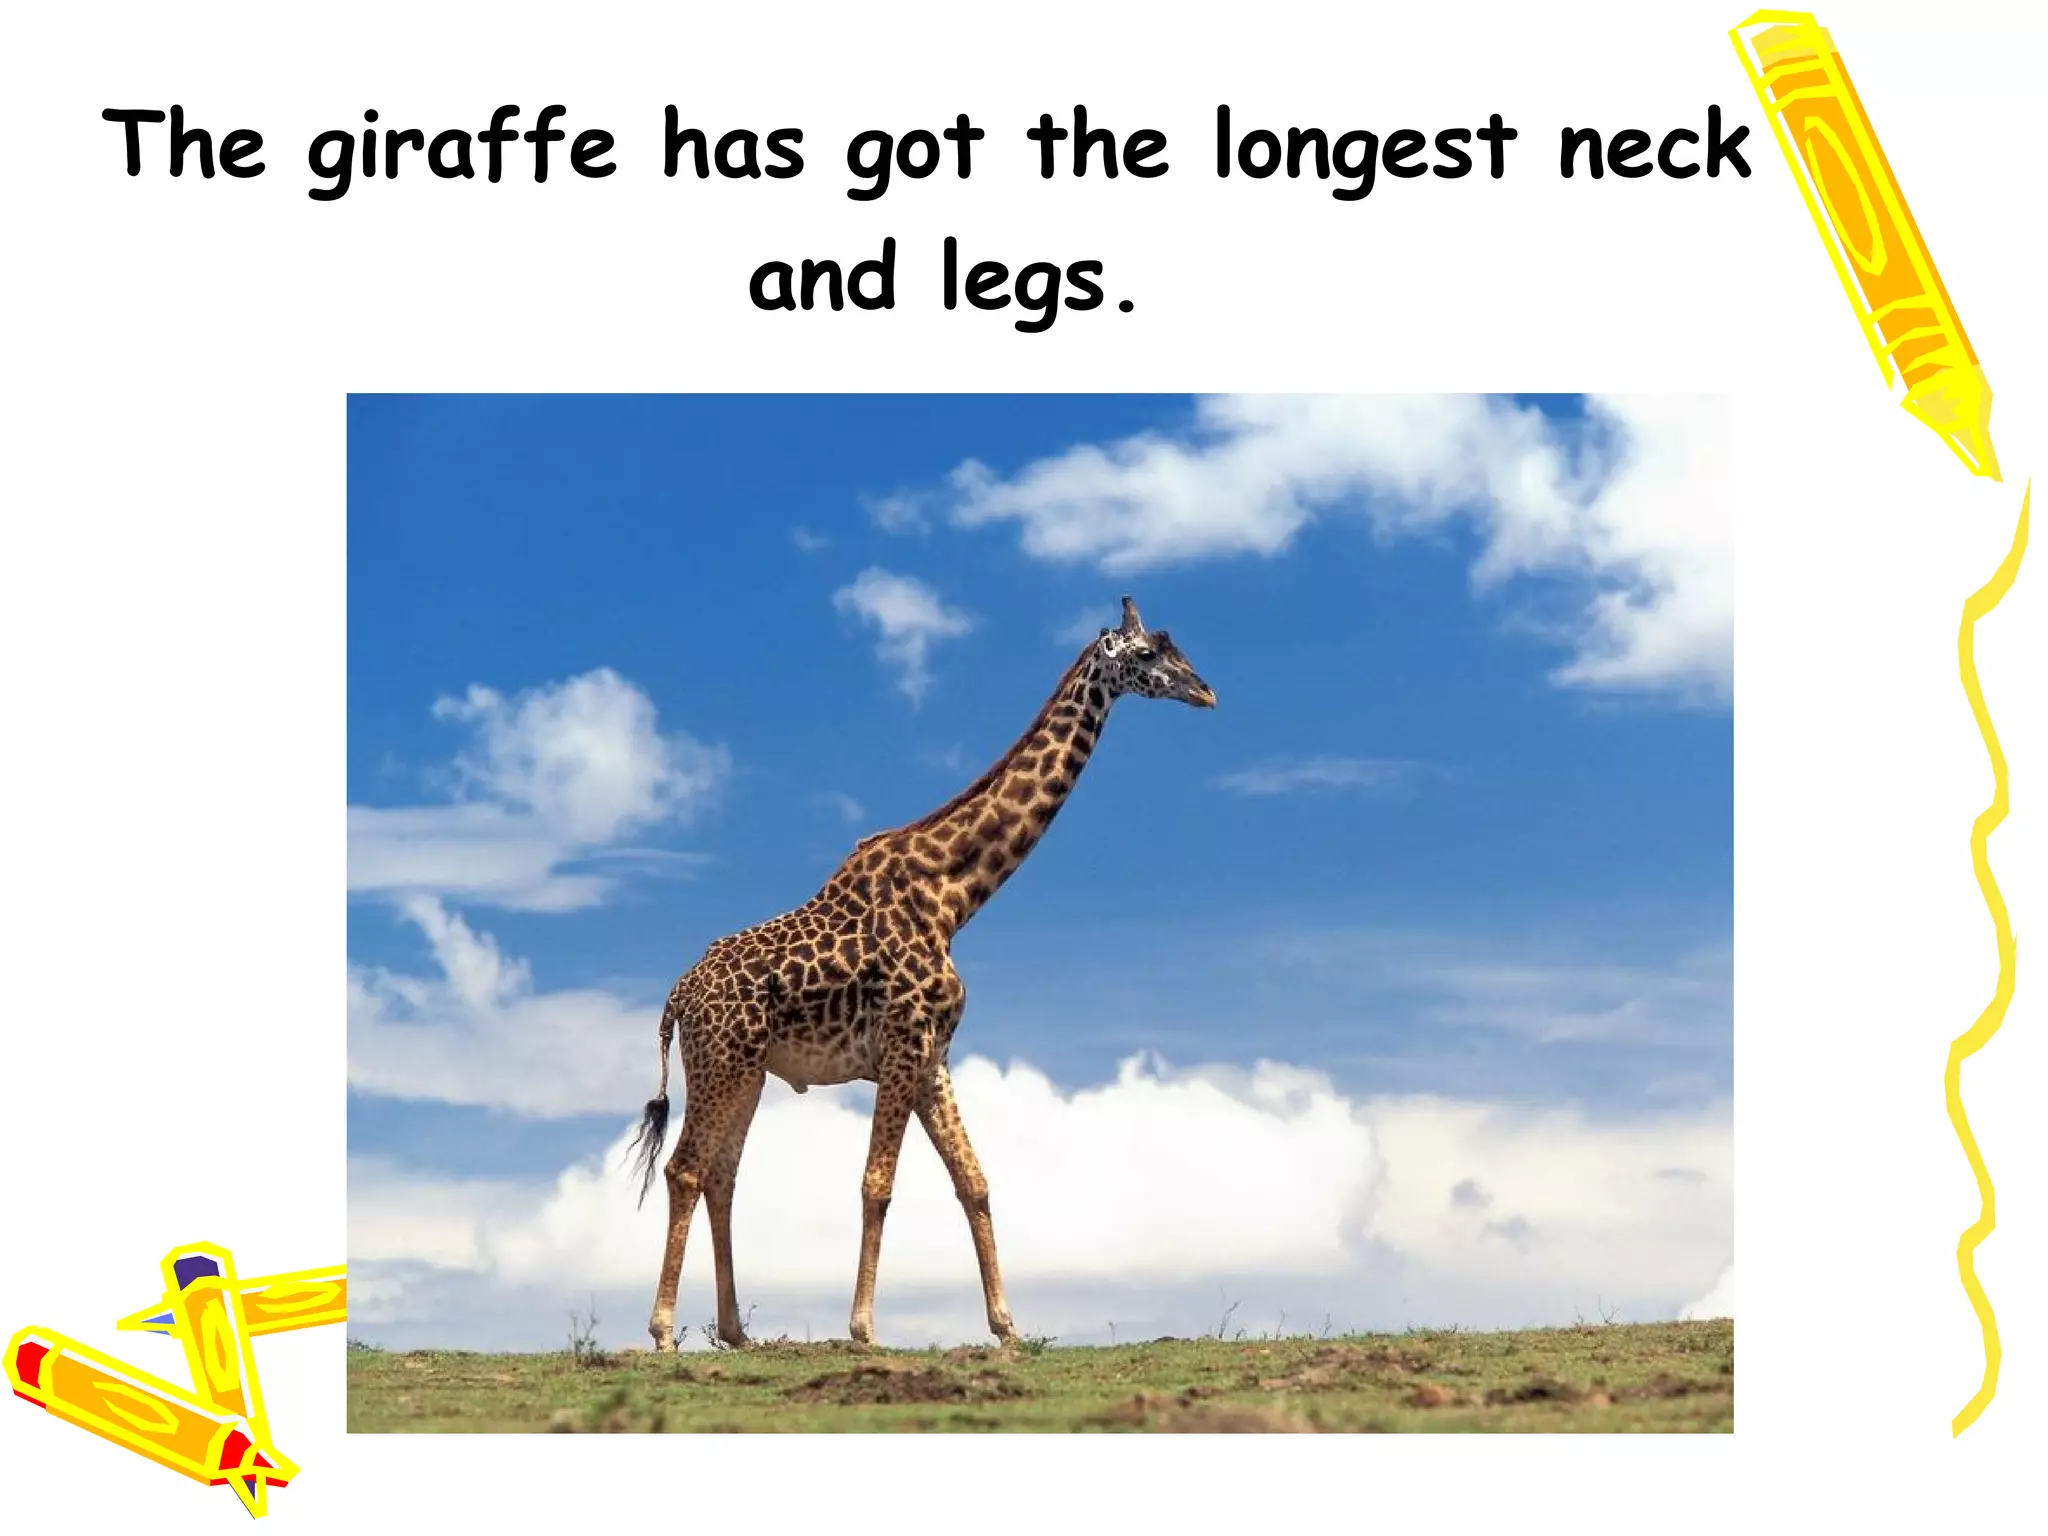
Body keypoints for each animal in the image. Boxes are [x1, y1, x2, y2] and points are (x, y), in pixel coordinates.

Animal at [627, 596, 1216, 1350]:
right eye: (1148, 654)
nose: (1206, 692)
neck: (956, 896)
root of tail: (676, 997)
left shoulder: (933, 1054)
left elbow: (975, 1181)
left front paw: (1006, 1327)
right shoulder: (904, 1043)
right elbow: (877, 1182)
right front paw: (863, 1328)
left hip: (746, 1071)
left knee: (722, 1176)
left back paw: (734, 1332)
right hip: (722, 1062)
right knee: (686, 1168)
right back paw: (664, 1331)